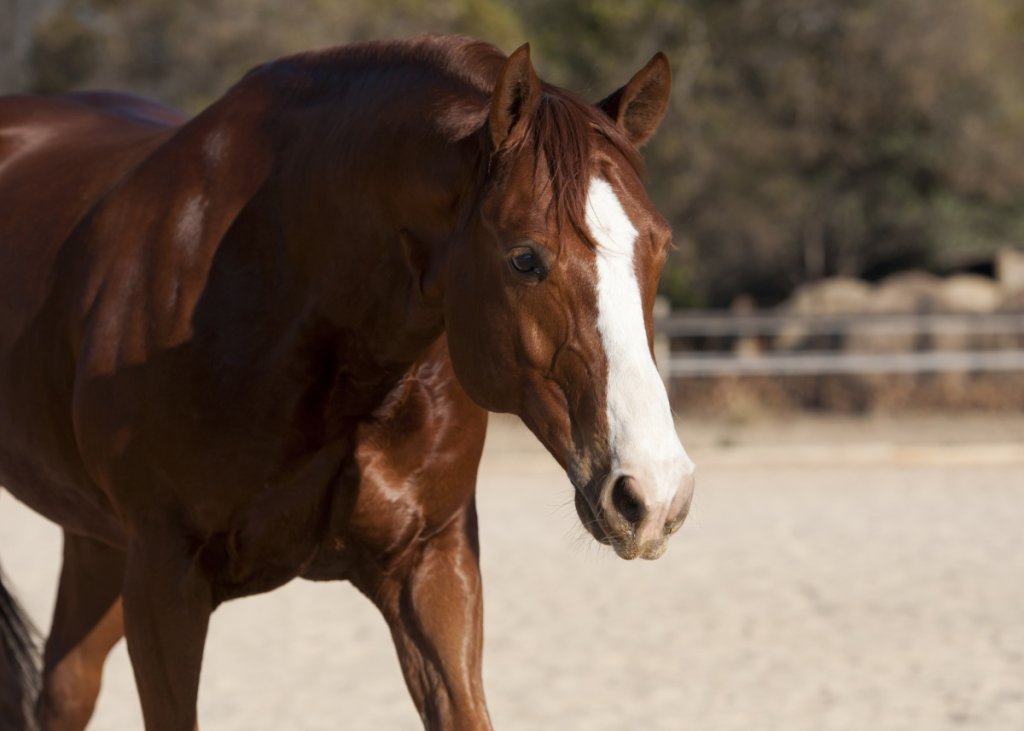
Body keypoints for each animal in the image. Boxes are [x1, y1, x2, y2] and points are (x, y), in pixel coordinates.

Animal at [0, 35, 696, 730]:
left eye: (662, 247)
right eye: (525, 257)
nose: (656, 493)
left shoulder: (432, 567)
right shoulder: (163, 578)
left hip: (96, 542)